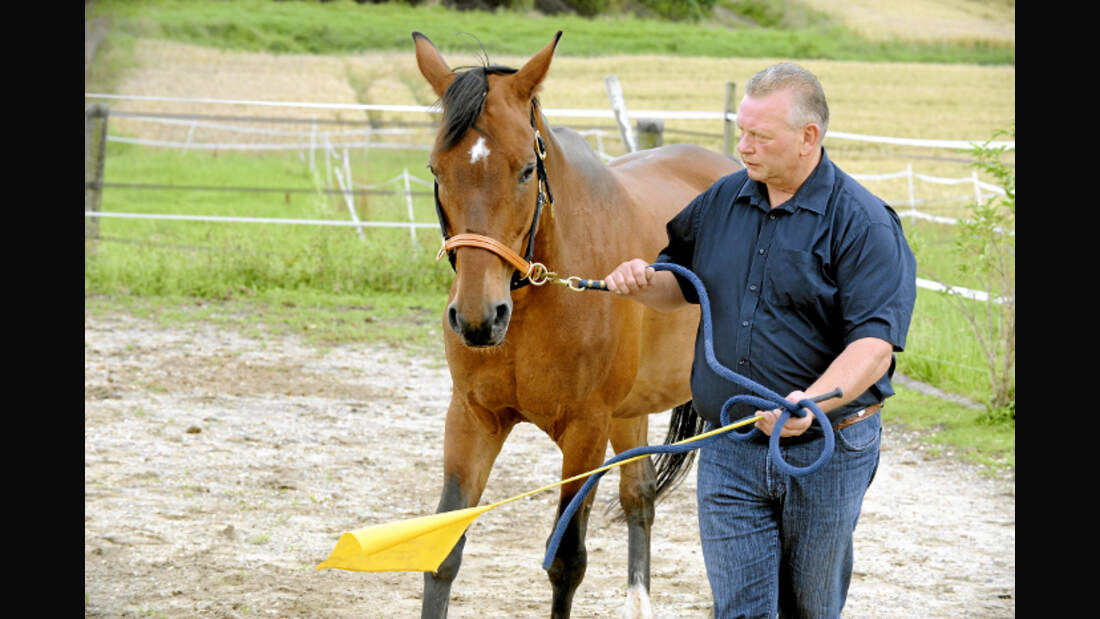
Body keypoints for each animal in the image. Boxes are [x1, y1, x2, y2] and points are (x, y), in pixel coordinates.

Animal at [412, 30, 743, 618]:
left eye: (526, 169)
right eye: (436, 170)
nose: (478, 318)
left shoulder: (585, 433)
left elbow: (567, 561)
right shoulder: (472, 419)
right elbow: (443, 553)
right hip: (629, 412)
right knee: (639, 498)